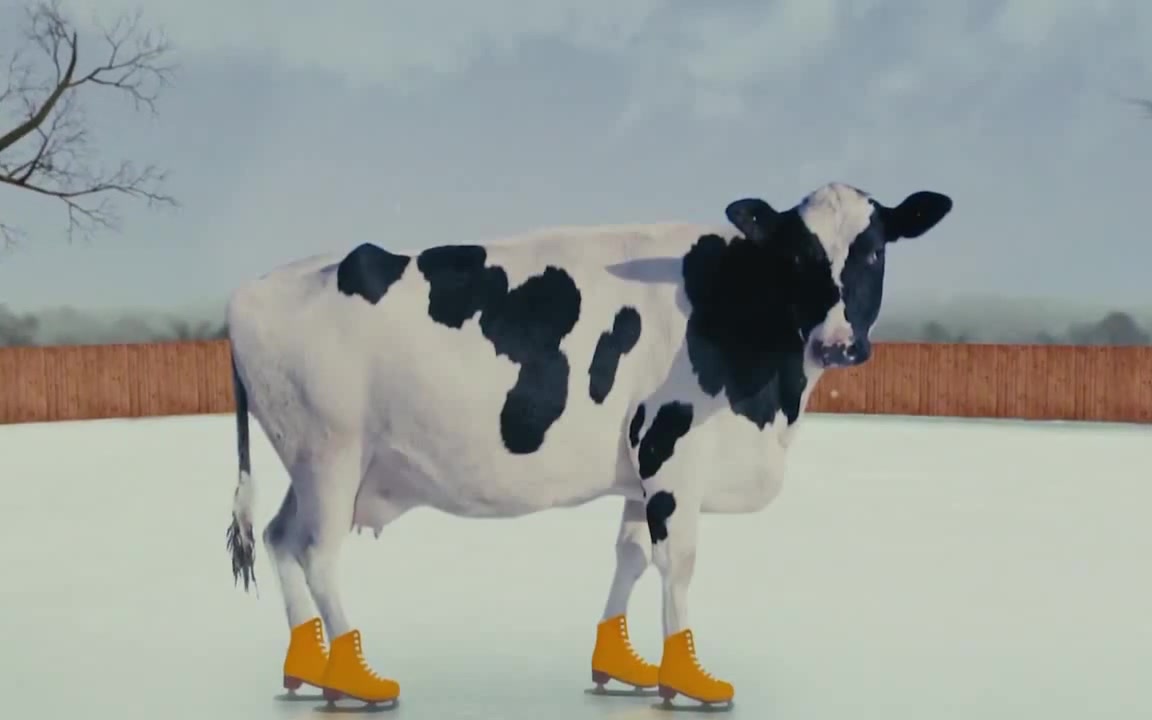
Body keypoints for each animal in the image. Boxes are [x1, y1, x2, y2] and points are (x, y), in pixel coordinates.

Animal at [224, 182, 952, 709]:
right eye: (798, 256)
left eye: (875, 251)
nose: (838, 342)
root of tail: (253, 288)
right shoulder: (670, 446)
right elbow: (677, 564)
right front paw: (688, 682)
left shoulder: (642, 470)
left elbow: (630, 555)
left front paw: (620, 667)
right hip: (332, 453)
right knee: (319, 555)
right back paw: (355, 680)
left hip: (313, 462)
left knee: (280, 537)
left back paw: (306, 671)